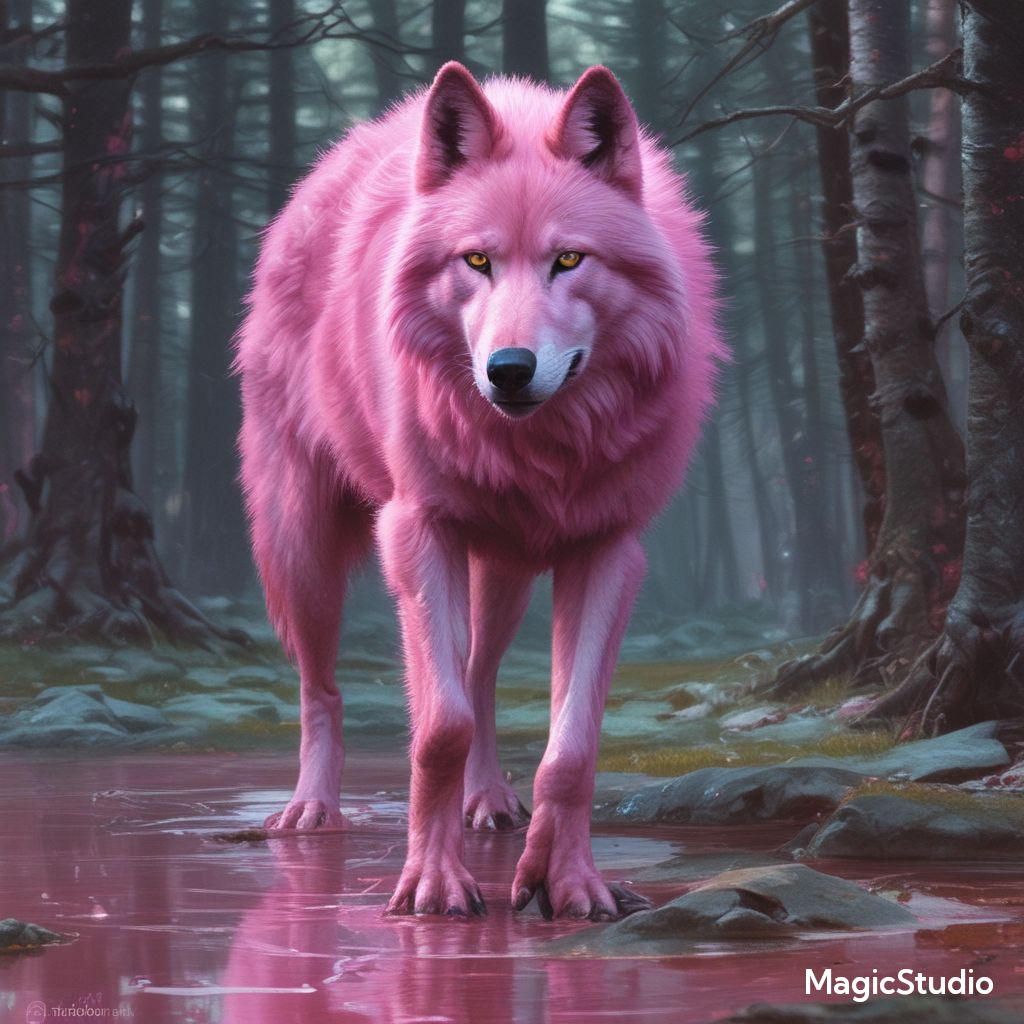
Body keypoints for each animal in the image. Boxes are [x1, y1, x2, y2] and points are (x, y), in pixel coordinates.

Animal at [236, 62, 722, 920]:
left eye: (569, 260)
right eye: (476, 262)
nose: (509, 369)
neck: (536, 450)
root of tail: (335, 160)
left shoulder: (607, 551)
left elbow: (570, 747)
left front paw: (565, 880)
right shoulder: (417, 531)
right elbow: (439, 727)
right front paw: (432, 884)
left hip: (505, 572)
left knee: (482, 676)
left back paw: (489, 800)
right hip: (302, 549)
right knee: (322, 687)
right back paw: (312, 810)